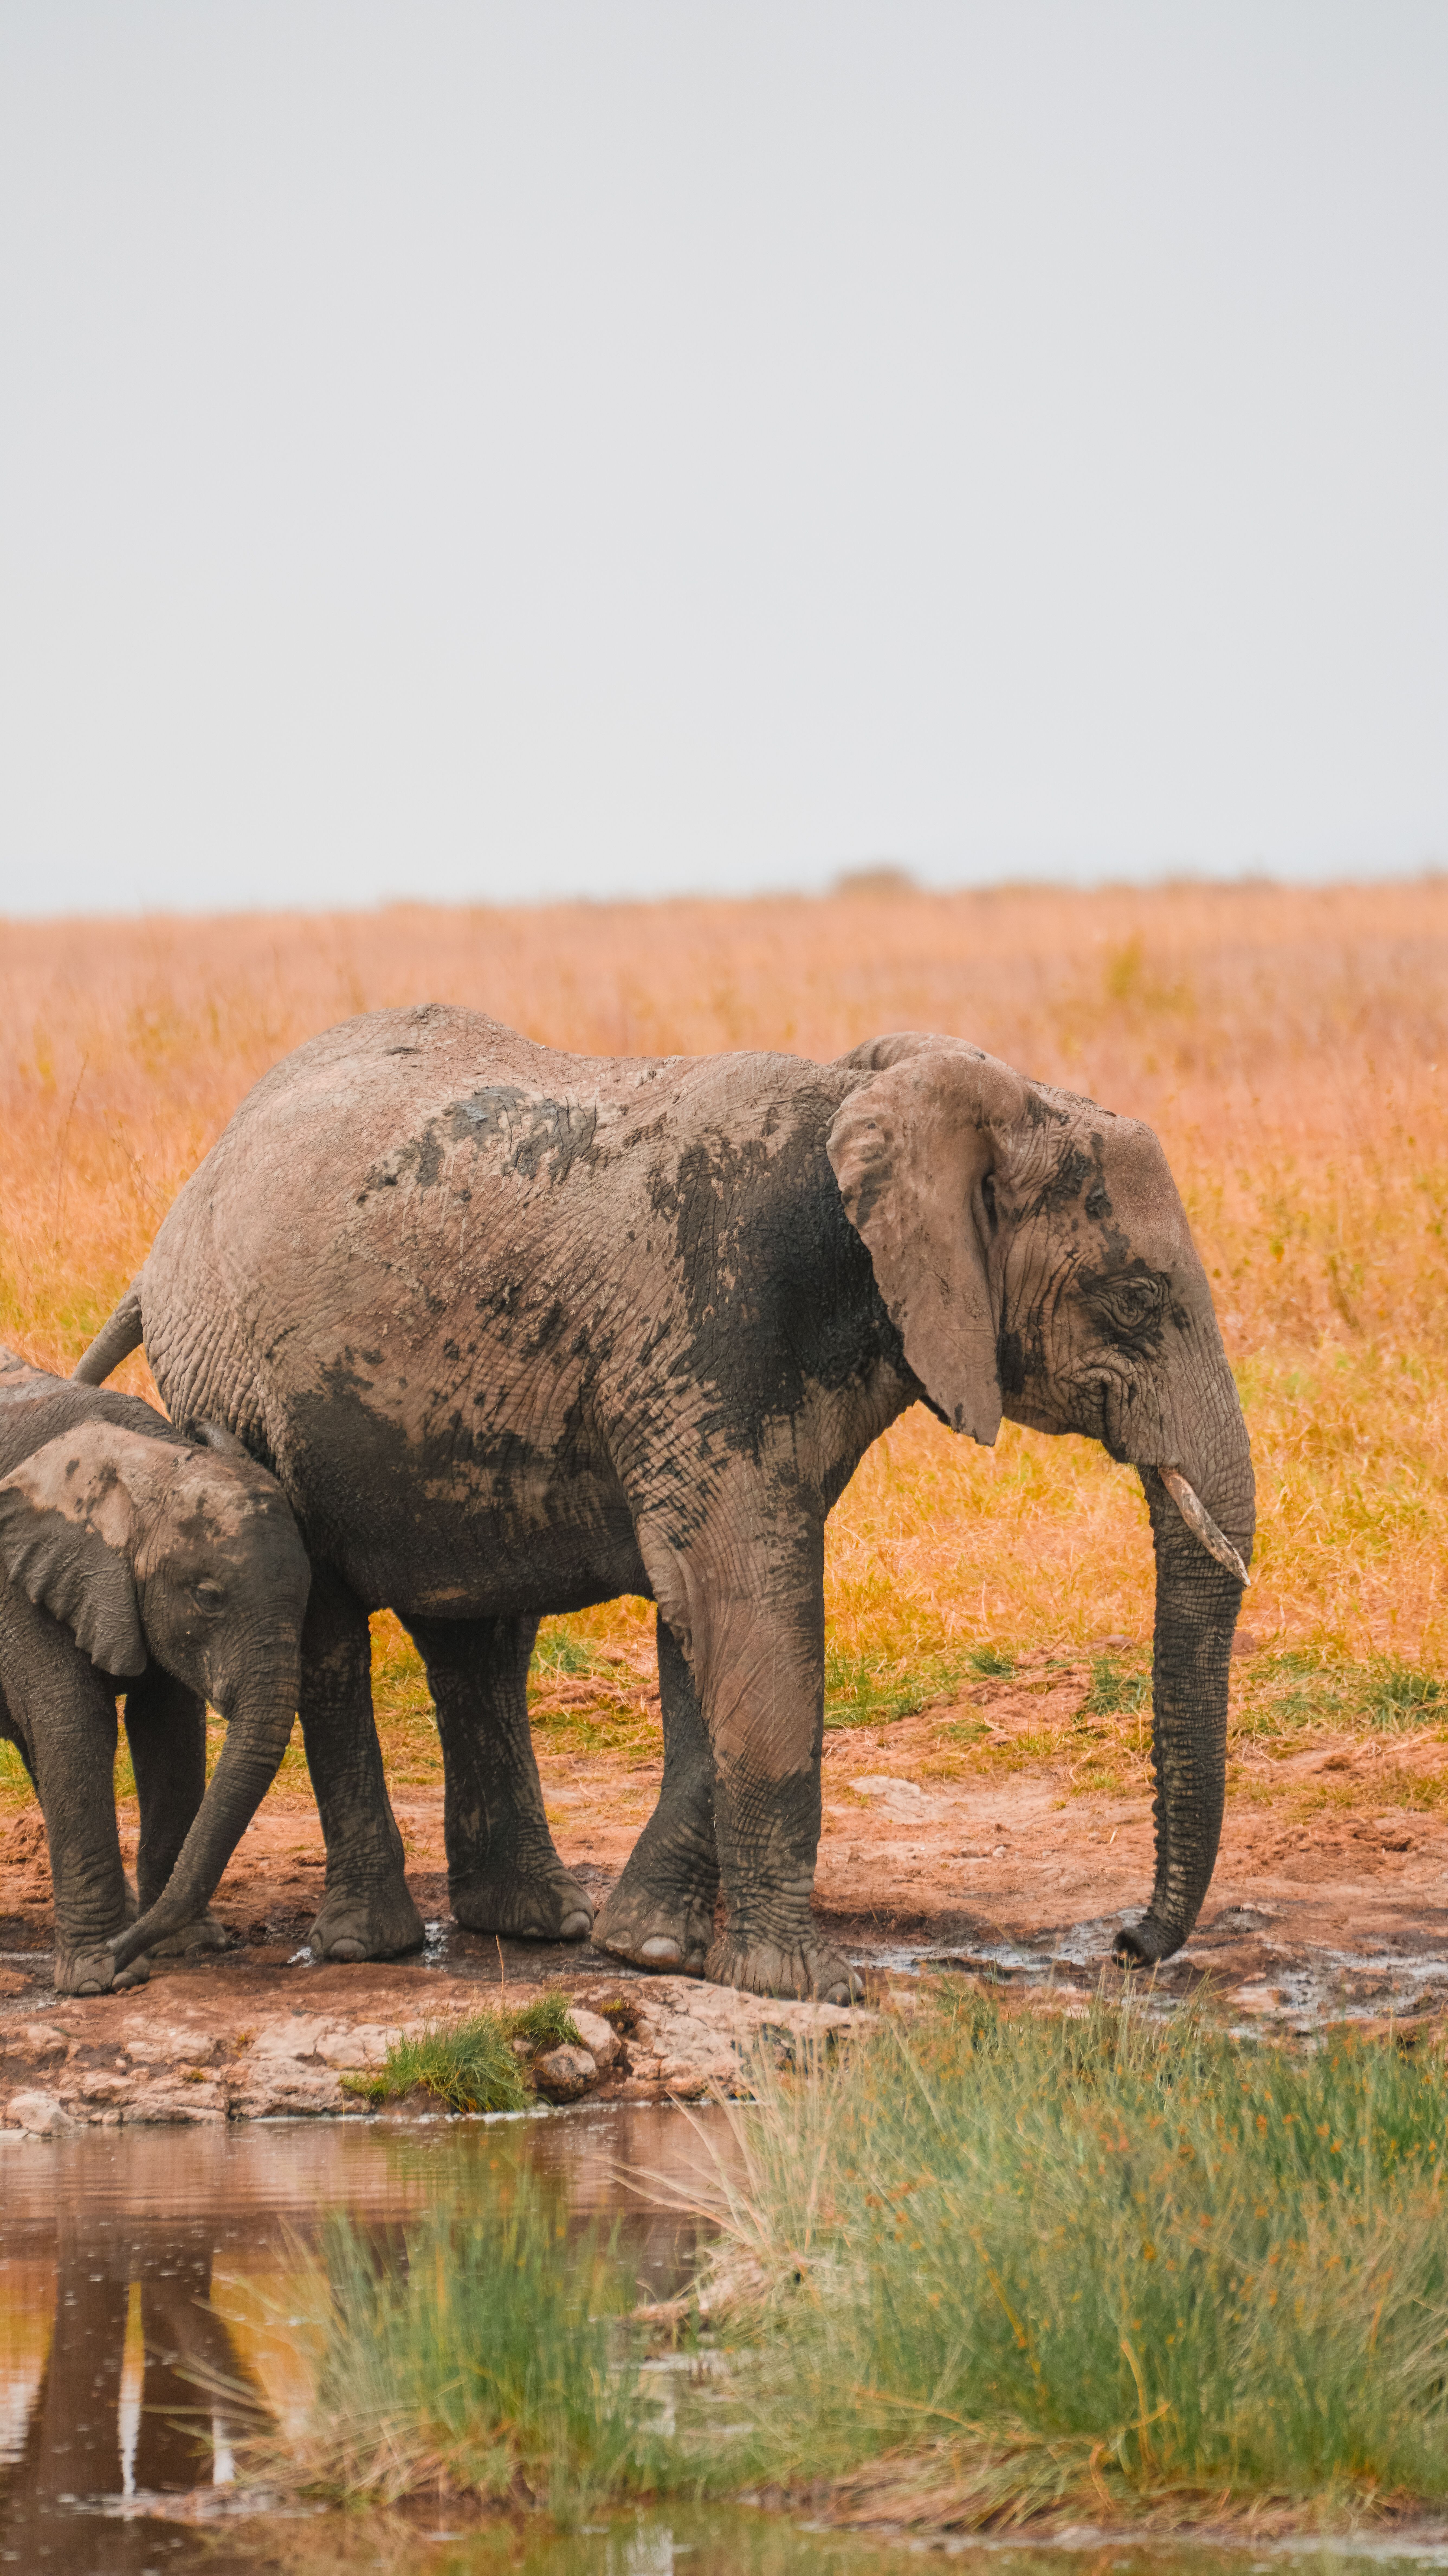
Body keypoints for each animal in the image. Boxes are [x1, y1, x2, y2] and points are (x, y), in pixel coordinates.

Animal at [0, 1347, 310, 1994]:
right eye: (209, 1597)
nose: (122, 1951)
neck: (146, 1459)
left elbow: (169, 1732)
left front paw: (183, 1947)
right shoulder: (16, 1582)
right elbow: (74, 1726)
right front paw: (100, 1978)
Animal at [75, 1007, 1254, 2002]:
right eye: (1137, 1301)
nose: (1127, 1944)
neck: (874, 1111)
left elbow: (710, 1626)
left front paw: (648, 1950)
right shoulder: (714, 1317)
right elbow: (747, 1605)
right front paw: (807, 1988)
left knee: (477, 1641)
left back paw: (535, 1923)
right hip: (240, 1386)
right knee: (328, 1635)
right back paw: (378, 1945)